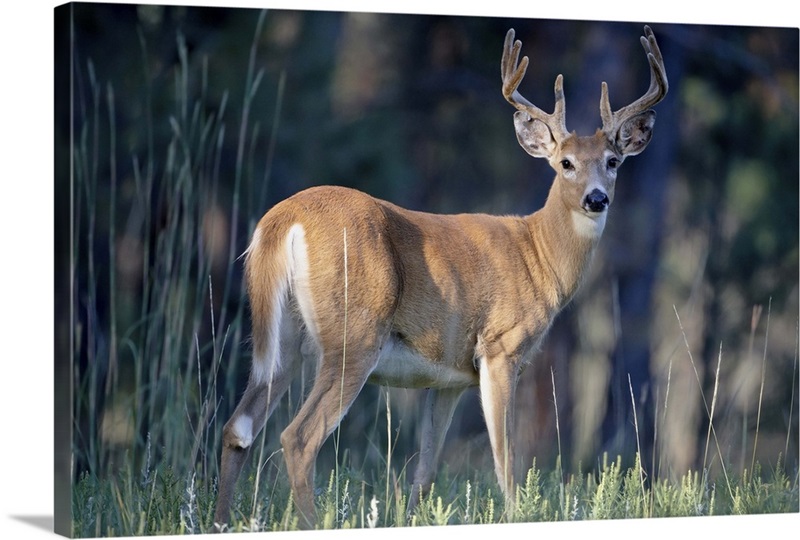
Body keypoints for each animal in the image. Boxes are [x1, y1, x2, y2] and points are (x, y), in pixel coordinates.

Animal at [213, 25, 667, 530]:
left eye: (613, 160)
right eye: (565, 163)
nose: (596, 199)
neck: (538, 254)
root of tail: (281, 220)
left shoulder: (448, 378)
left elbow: (424, 472)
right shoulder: (501, 347)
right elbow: (507, 461)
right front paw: (515, 514)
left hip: (284, 339)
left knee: (237, 428)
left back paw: (219, 520)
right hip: (354, 333)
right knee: (298, 437)